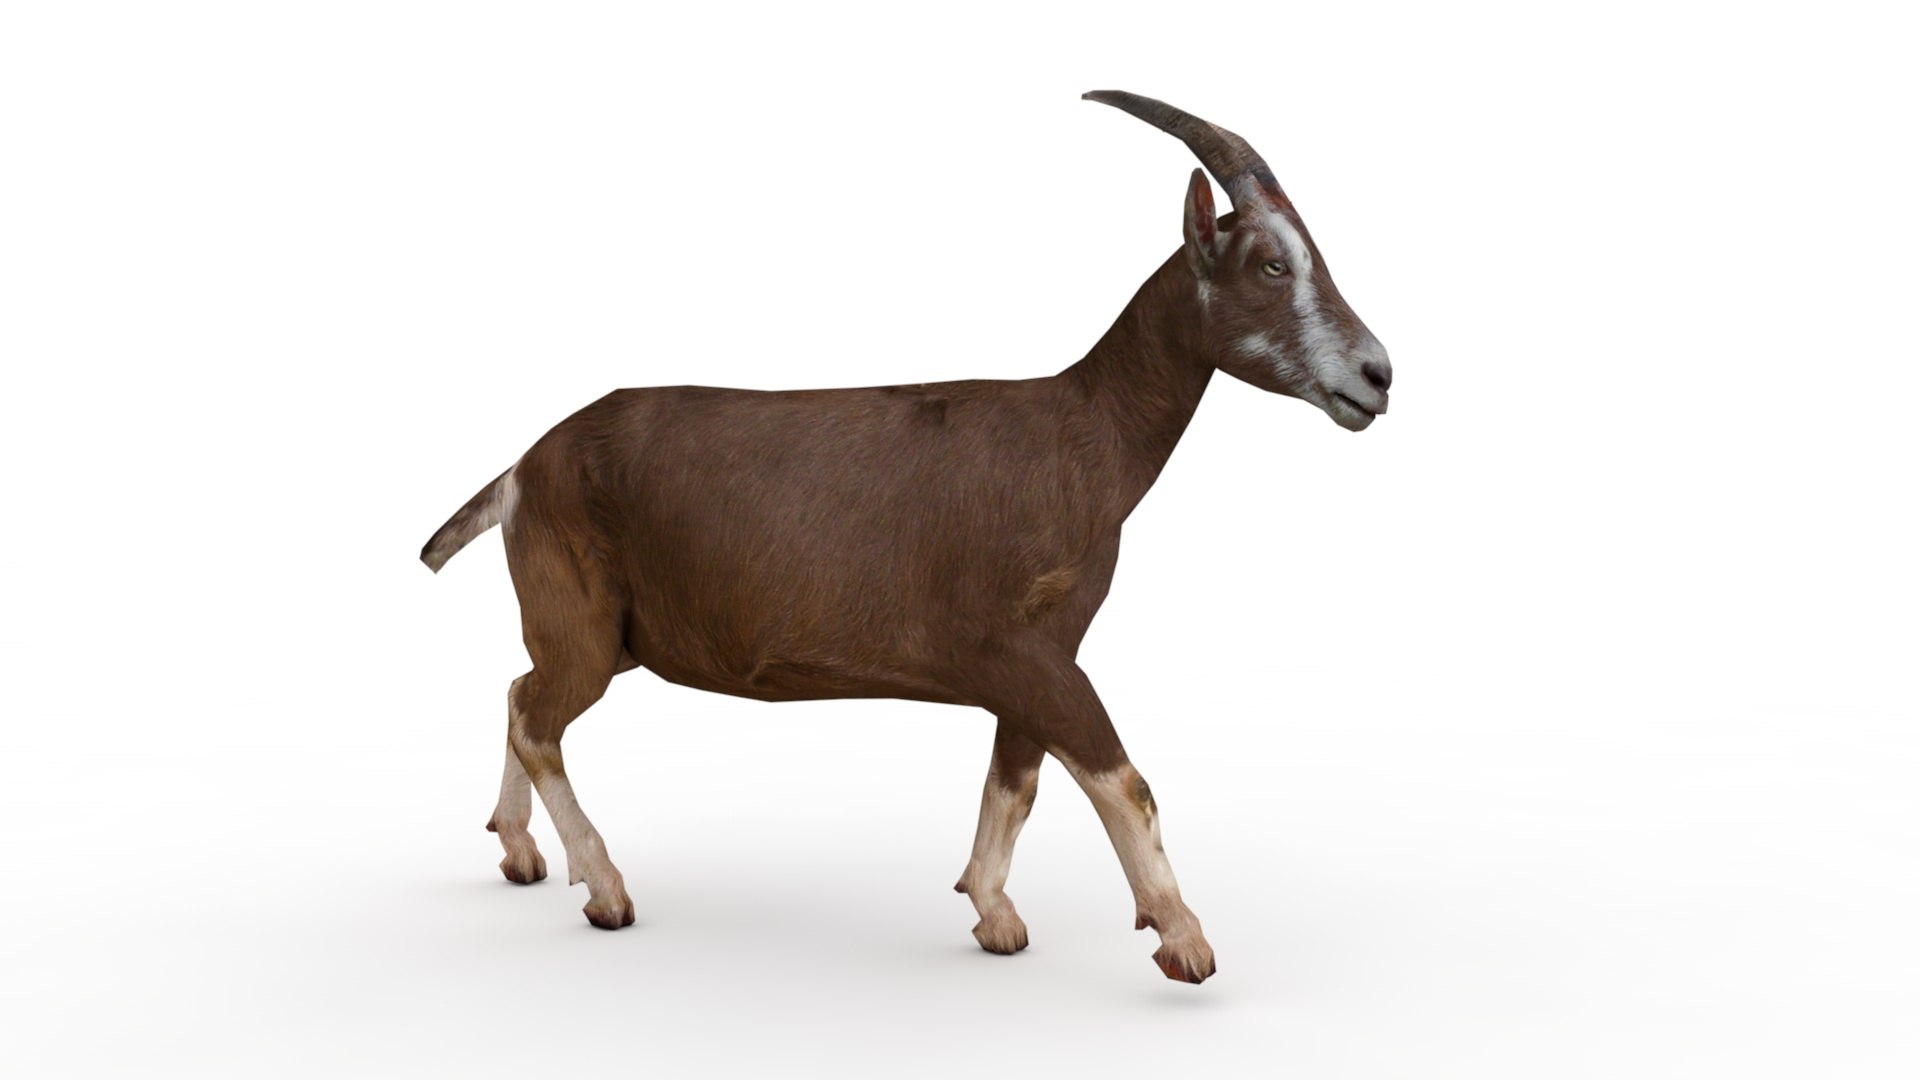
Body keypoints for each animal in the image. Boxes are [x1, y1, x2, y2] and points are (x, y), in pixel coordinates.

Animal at [421, 91, 1391, 984]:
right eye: (1271, 264)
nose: (1377, 375)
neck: (1087, 433)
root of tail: (523, 467)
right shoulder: (1016, 648)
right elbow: (1122, 779)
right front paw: (1185, 942)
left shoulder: (1042, 654)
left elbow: (1017, 777)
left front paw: (994, 914)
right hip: (581, 617)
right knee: (541, 715)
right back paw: (607, 891)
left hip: (618, 631)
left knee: (521, 691)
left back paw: (520, 853)